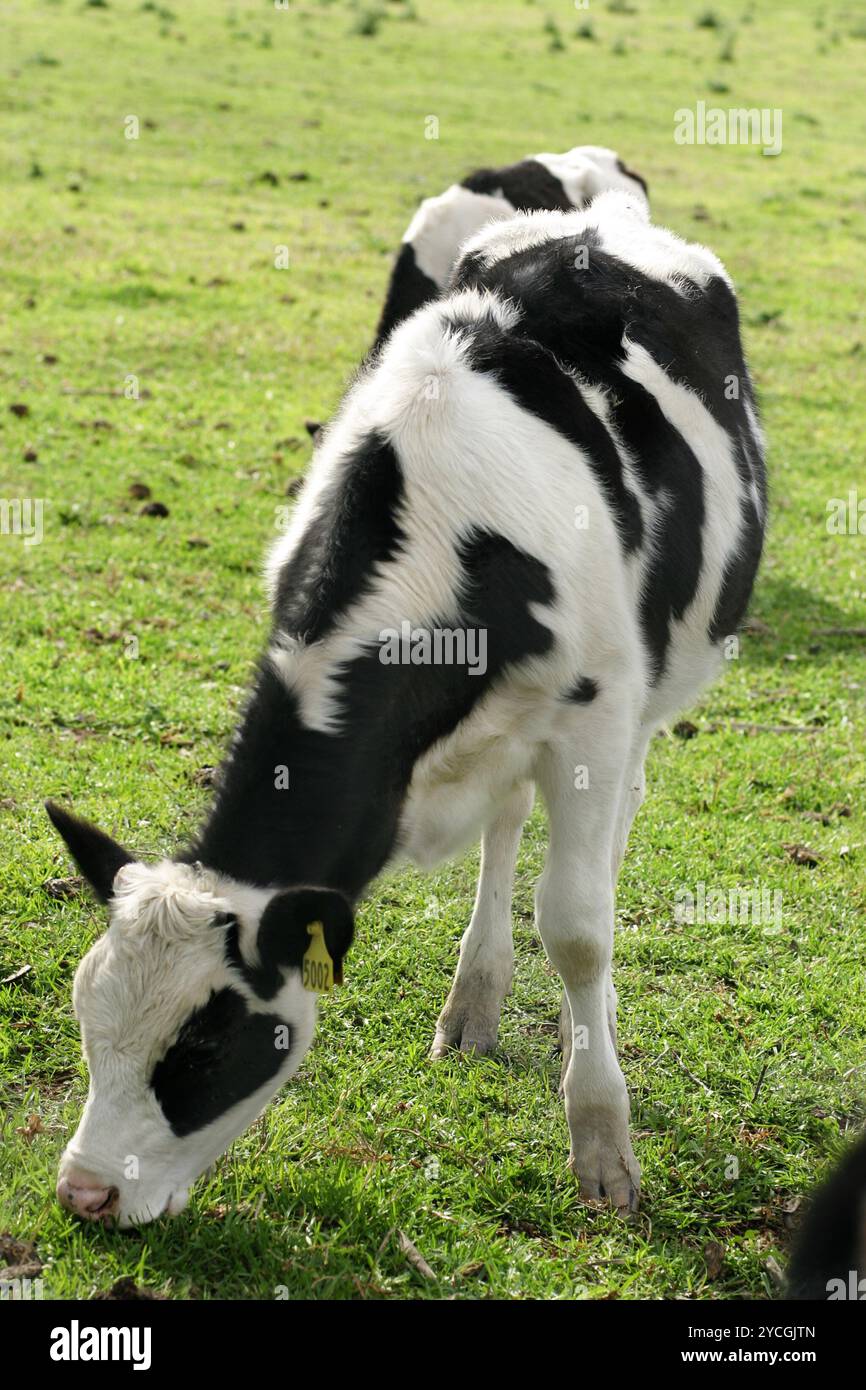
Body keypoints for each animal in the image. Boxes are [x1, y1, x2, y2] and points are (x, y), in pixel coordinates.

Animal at [49, 189, 765, 1228]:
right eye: (85, 1012)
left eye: (205, 1047)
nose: (84, 1194)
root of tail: (596, 217)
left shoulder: (594, 711)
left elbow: (579, 927)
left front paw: (601, 1141)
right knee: (508, 826)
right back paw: (474, 1002)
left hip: (649, 686)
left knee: (607, 829)